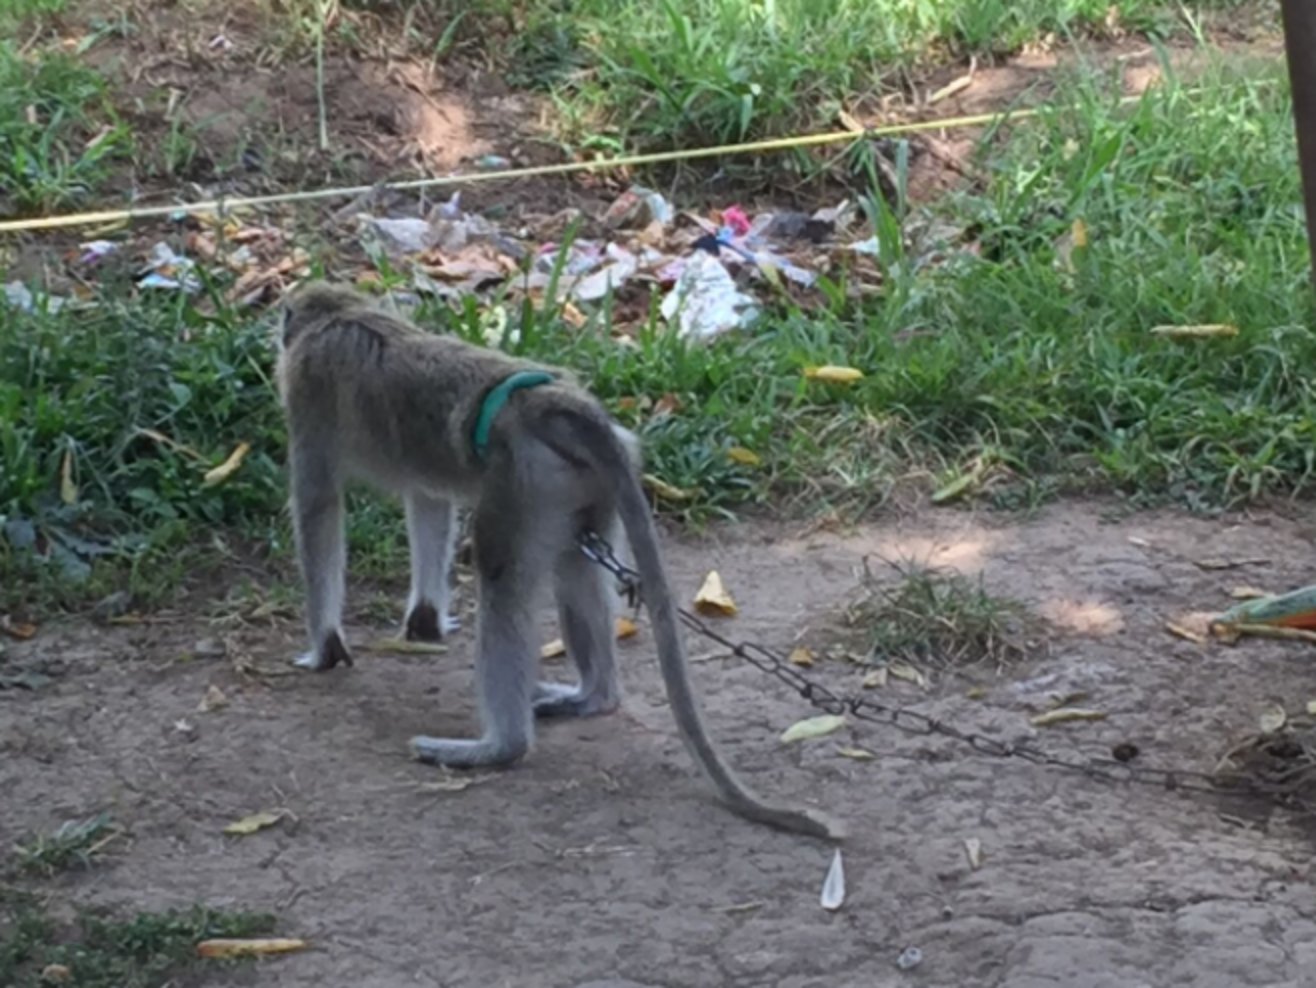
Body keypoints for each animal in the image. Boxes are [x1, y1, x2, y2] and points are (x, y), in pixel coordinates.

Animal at [273, 281, 841, 841]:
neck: (340, 314)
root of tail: (548, 401)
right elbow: (428, 499)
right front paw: (426, 620)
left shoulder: (305, 386)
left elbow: (318, 507)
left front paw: (324, 647)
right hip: (585, 479)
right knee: (575, 565)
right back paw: (593, 697)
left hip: (524, 480)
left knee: (500, 570)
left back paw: (499, 748)